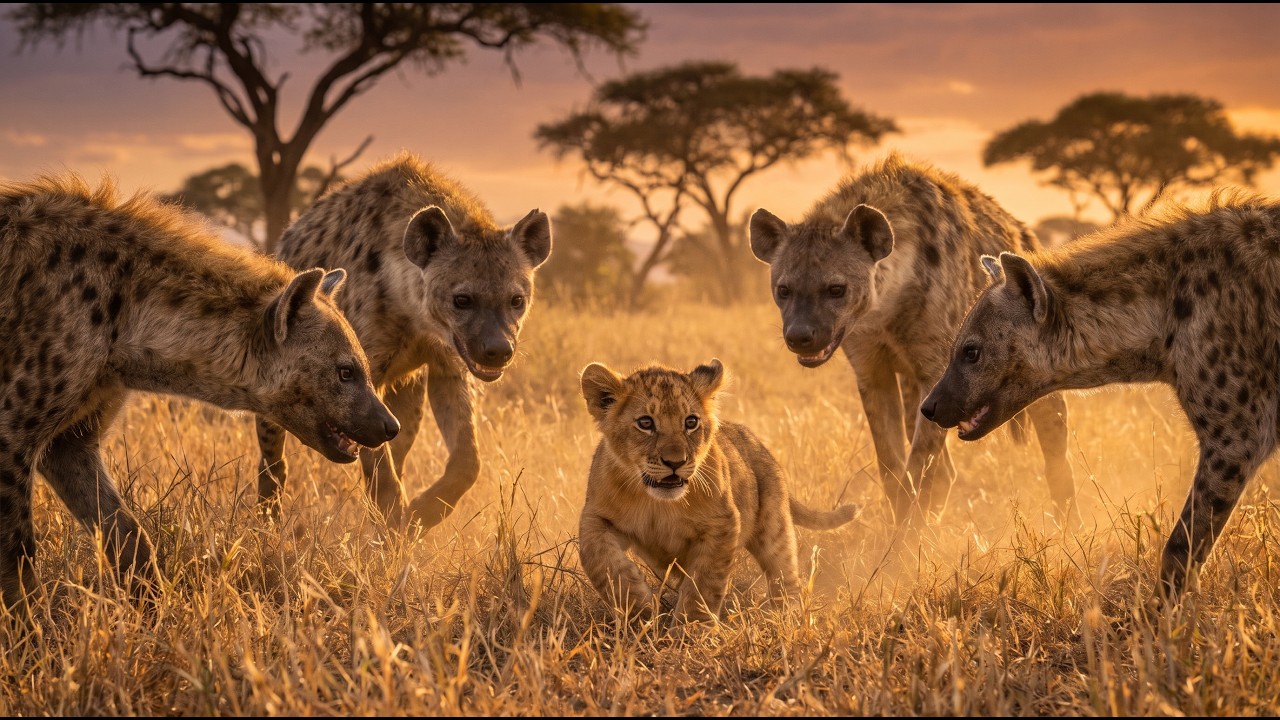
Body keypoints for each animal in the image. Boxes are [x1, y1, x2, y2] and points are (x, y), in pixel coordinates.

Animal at [577, 358, 859, 622]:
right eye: (645, 423)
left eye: (690, 422)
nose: (675, 462)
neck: (658, 503)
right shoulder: (595, 516)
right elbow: (602, 562)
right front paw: (639, 609)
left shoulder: (721, 523)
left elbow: (704, 583)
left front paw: (690, 630)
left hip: (773, 526)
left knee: (784, 572)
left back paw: (787, 615)